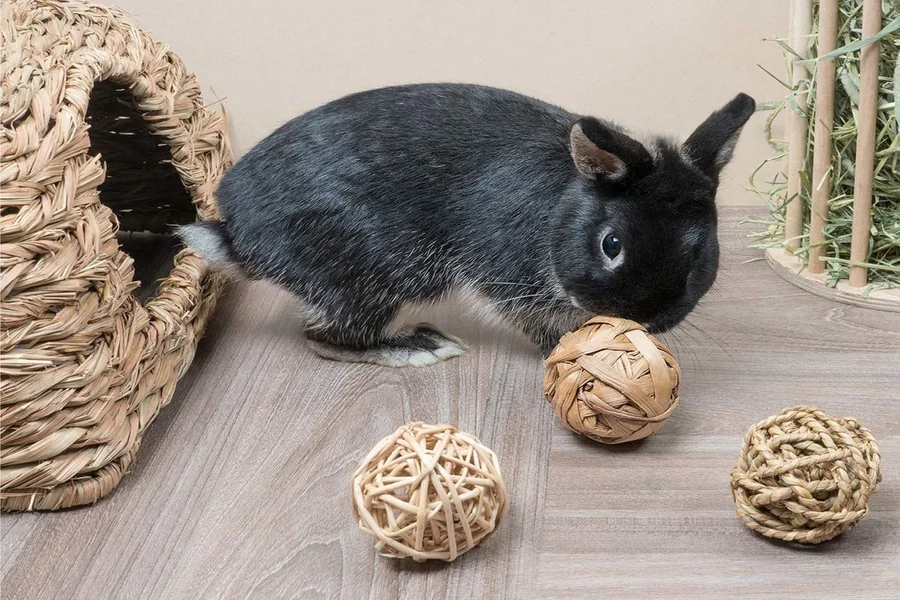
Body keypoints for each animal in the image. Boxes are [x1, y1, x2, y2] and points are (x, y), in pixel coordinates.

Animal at [179, 83, 755, 367]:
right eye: (610, 243)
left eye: (701, 254)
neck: (563, 204)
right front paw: (569, 352)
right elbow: (537, 324)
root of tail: (239, 235)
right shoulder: (509, 278)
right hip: (377, 275)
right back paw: (417, 347)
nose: (645, 319)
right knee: (324, 337)